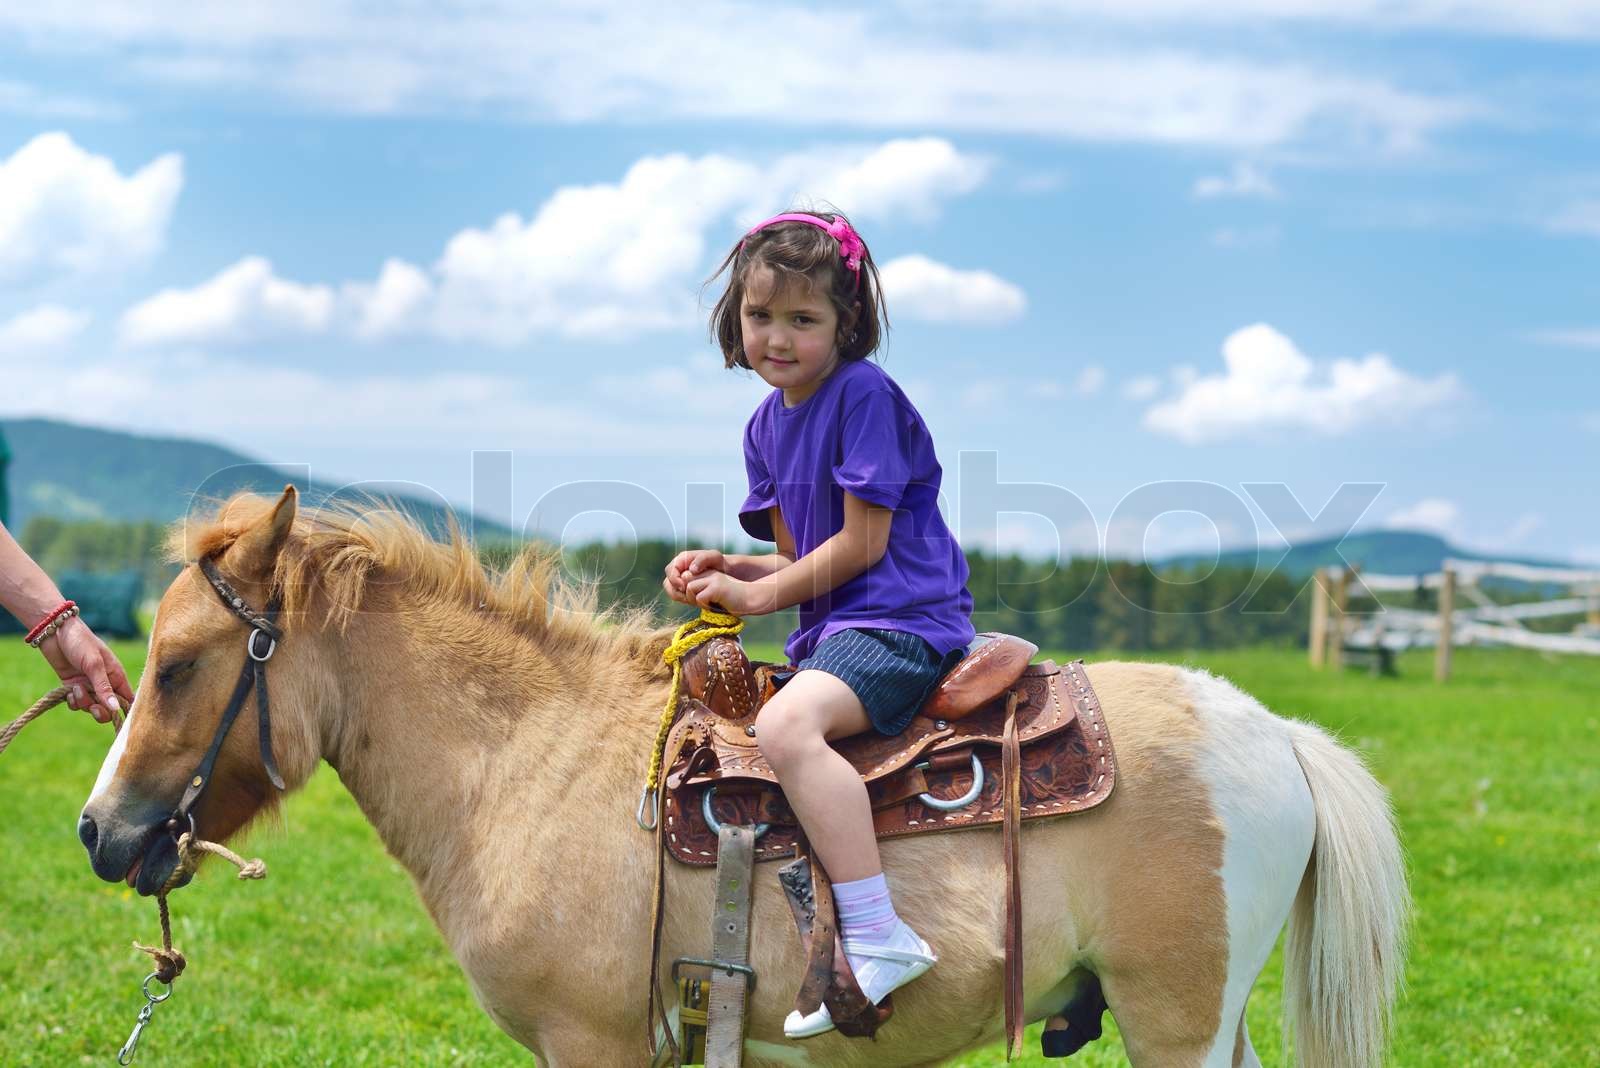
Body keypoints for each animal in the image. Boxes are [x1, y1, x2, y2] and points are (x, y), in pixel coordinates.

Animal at [78, 487, 1408, 1067]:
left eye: (180, 665)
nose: (100, 832)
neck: (524, 758)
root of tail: (1277, 734)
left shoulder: (594, 1045)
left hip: (1175, 1023)